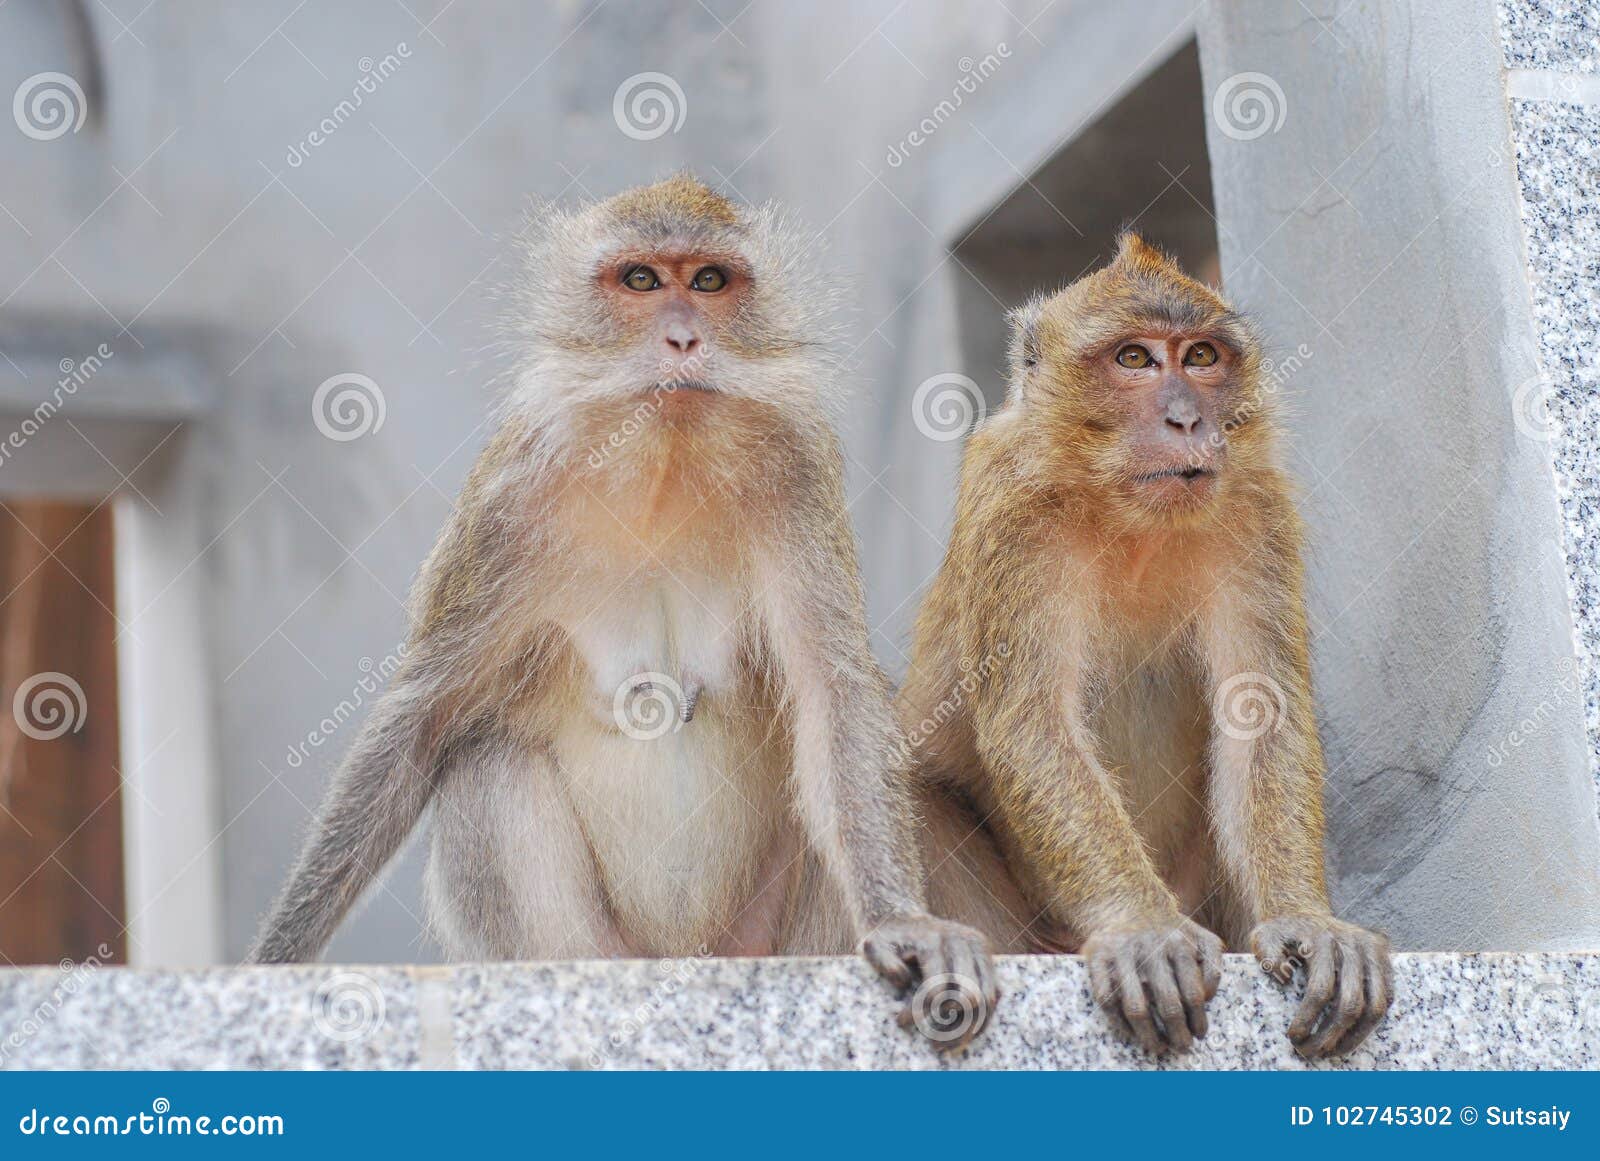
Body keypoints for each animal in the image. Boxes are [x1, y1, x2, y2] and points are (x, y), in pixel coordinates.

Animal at [249, 175, 1030, 1050]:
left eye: (711, 281)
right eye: (642, 281)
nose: (684, 339)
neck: (663, 461)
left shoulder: (797, 466)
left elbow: (833, 694)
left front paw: (904, 923)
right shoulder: (508, 496)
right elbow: (420, 720)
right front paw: (275, 957)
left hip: (758, 937)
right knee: (486, 763)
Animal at [898, 233, 1391, 1058]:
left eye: (1201, 356)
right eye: (1134, 358)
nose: (1189, 419)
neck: (1126, 512)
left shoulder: (1257, 507)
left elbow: (1260, 712)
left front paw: (1306, 920)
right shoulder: (1009, 508)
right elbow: (1033, 722)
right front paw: (1144, 928)